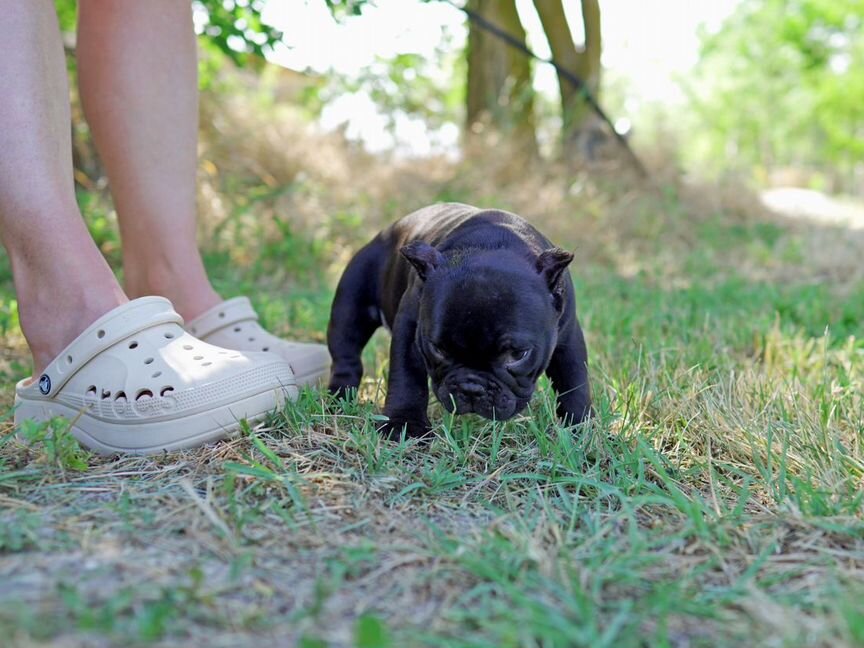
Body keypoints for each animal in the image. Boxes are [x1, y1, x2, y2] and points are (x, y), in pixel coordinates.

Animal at [328, 202, 592, 436]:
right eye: (438, 349)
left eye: (518, 355)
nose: (472, 388)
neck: (490, 247)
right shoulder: (410, 329)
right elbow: (407, 376)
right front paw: (403, 424)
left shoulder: (568, 337)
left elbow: (574, 380)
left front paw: (579, 427)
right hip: (351, 303)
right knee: (346, 356)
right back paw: (339, 398)